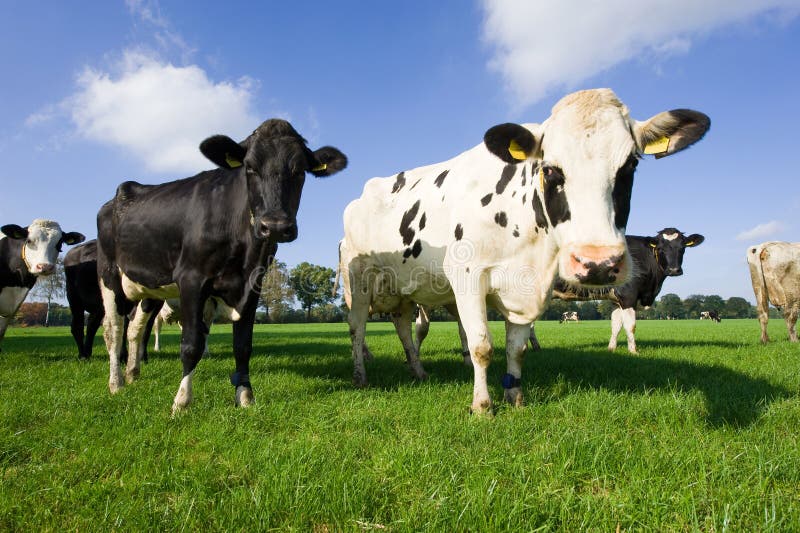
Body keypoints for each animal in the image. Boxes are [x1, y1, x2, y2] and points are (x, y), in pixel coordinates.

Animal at [97, 118, 346, 412]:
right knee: (113, 329)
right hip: (109, 275)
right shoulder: (191, 279)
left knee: (135, 327)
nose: (274, 226)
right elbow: (191, 344)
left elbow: (243, 345)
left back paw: (133, 373)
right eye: (250, 167)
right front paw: (181, 401)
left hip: (151, 285)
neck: (245, 253)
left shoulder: (253, 285)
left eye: (300, 171)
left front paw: (245, 395)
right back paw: (116, 384)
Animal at [340, 88, 709, 414]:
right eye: (550, 168)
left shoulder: (529, 289)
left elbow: (516, 349)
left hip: (402, 290)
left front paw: (515, 397)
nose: (597, 263)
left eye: (630, 165)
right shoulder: (468, 277)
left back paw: (417, 370)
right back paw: (359, 375)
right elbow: (481, 345)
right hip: (359, 280)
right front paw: (482, 406)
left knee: (403, 327)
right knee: (357, 327)